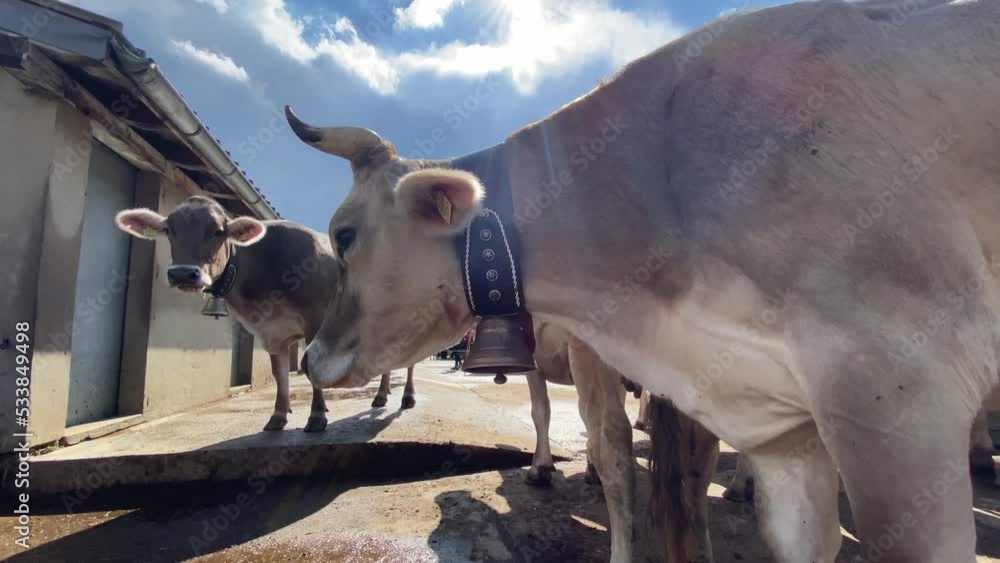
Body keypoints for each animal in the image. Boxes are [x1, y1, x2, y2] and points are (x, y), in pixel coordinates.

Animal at [114, 196, 417, 432]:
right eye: (168, 229)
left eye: (218, 231)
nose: (183, 274)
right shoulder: (270, 334)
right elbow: (279, 374)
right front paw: (278, 416)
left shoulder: (315, 319)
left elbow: (311, 371)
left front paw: (317, 417)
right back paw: (381, 396)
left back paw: (405, 397)